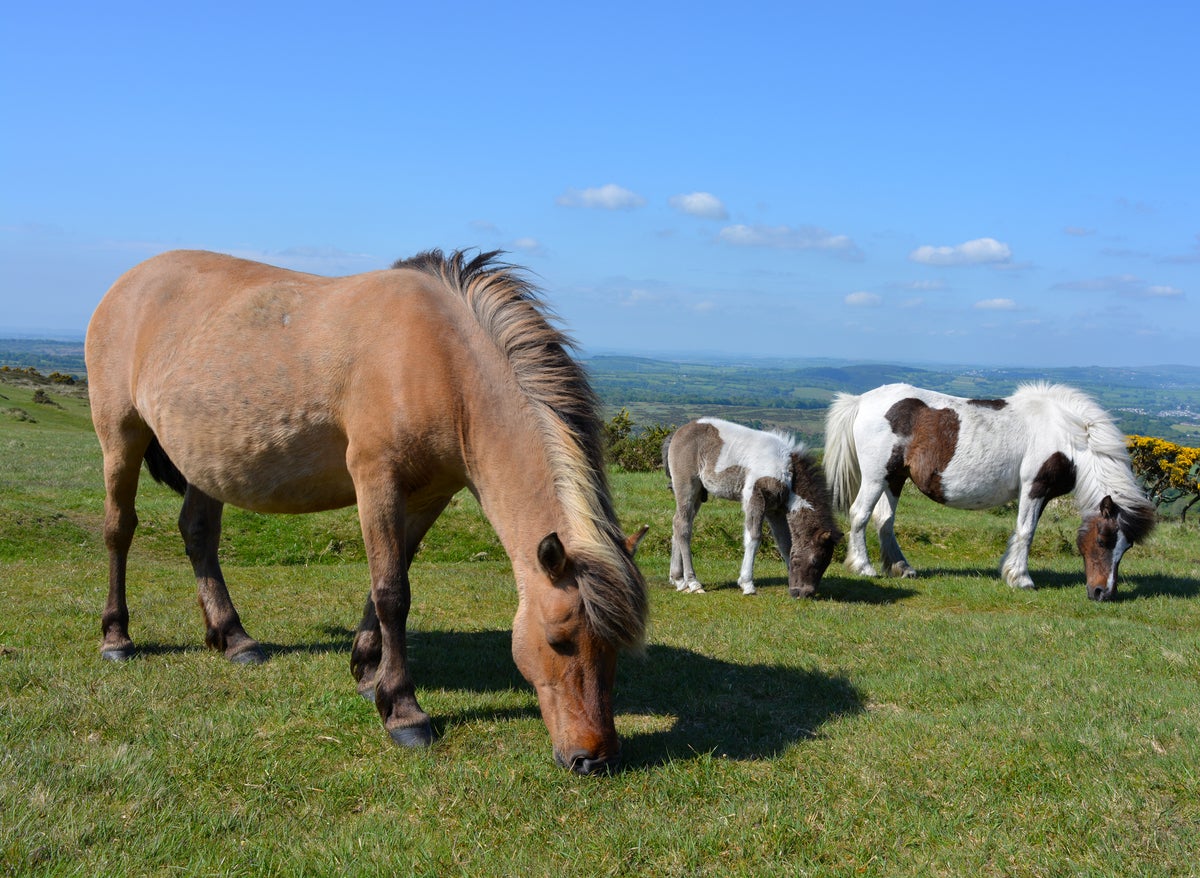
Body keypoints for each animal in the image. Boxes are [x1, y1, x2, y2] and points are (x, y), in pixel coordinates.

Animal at [84, 248, 649, 774]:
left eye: (617, 647)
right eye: (559, 641)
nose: (594, 758)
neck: (440, 358)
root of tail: (125, 283)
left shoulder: (428, 495)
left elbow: (390, 578)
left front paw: (367, 668)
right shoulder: (376, 479)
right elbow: (392, 592)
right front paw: (402, 710)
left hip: (208, 459)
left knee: (198, 533)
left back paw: (234, 638)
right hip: (120, 435)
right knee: (119, 530)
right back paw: (117, 637)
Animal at [661, 418, 841, 597]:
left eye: (826, 563)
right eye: (815, 560)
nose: (804, 593)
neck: (787, 469)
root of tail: (677, 433)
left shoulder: (775, 510)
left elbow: (785, 543)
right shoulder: (754, 496)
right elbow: (753, 537)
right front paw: (747, 584)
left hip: (699, 493)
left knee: (678, 523)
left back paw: (679, 580)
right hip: (687, 486)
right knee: (683, 526)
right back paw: (693, 583)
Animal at [823, 382, 1156, 600]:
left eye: (1126, 547)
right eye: (1102, 539)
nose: (1102, 593)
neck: (1067, 434)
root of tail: (861, 401)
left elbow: (1022, 530)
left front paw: (1010, 570)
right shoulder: (1035, 487)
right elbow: (1026, 531)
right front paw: (1021, 578)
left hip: (894, 477)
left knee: (884, 520)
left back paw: (902, 568)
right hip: (876, 476)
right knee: (860, 514)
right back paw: (864, 567)